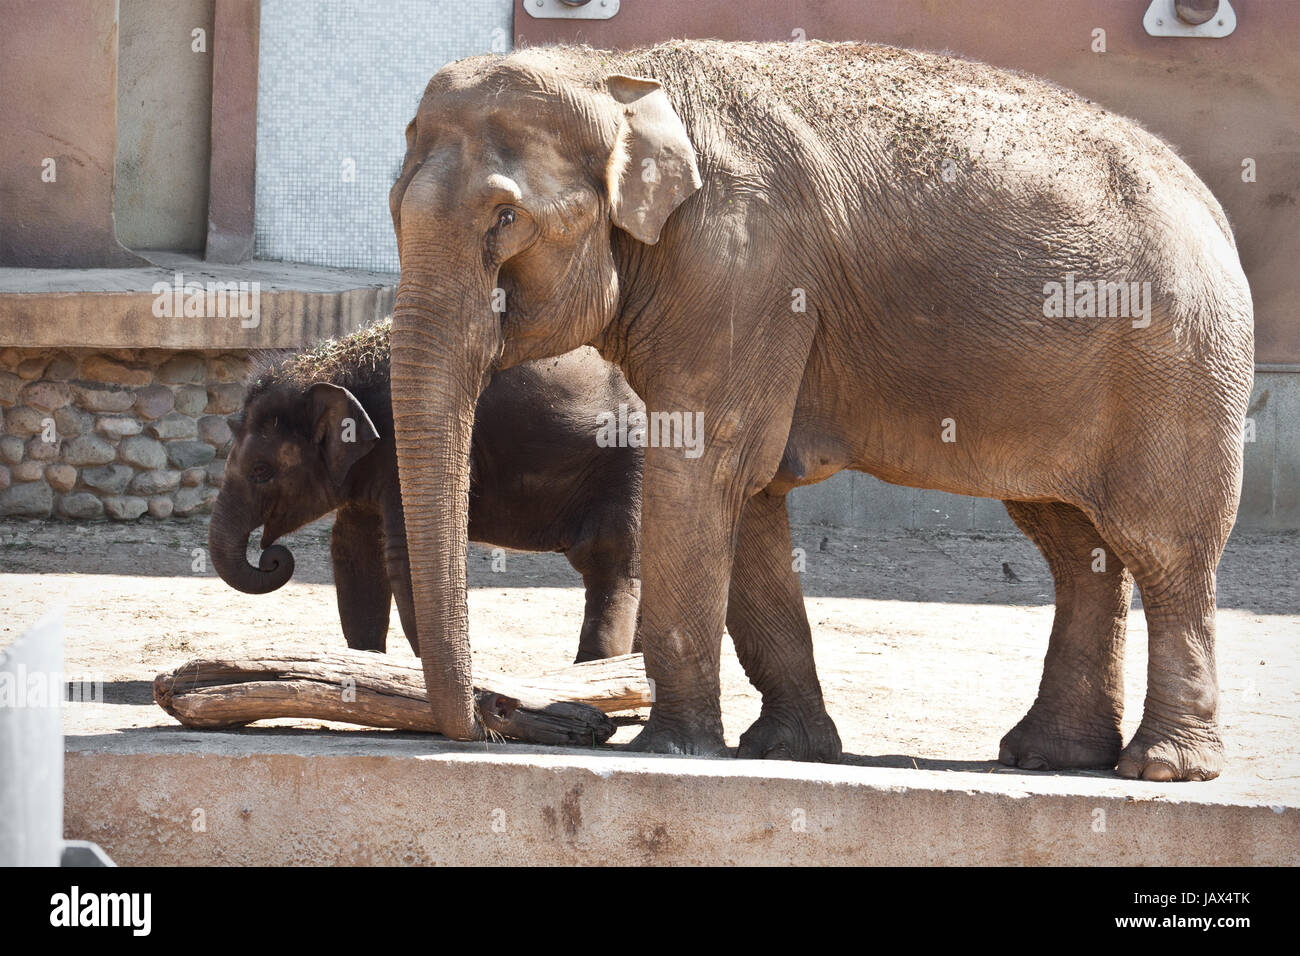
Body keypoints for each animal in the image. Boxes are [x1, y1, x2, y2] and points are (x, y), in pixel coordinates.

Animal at [208, 318, 643, 663]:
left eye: (261, 471)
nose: (272, 558)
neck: (340, 366)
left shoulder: (410, 441)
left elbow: (405, 555)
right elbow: (353, 548)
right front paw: (366, 666)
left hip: (632, 463)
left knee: (608, 554)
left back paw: (594, 668)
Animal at [387, 39, 1253, 782]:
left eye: (505, 221)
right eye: (393, 209)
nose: (484, 722)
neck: (618, 75)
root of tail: (1210, 207)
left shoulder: (742, 265)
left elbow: (703, 471)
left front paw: (672, 749)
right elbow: (749, 494)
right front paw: (784, 749)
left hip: (1177, 361)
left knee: (1164, 543)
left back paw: (1163, 767)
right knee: (1074, 544)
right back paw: (1052, 756)